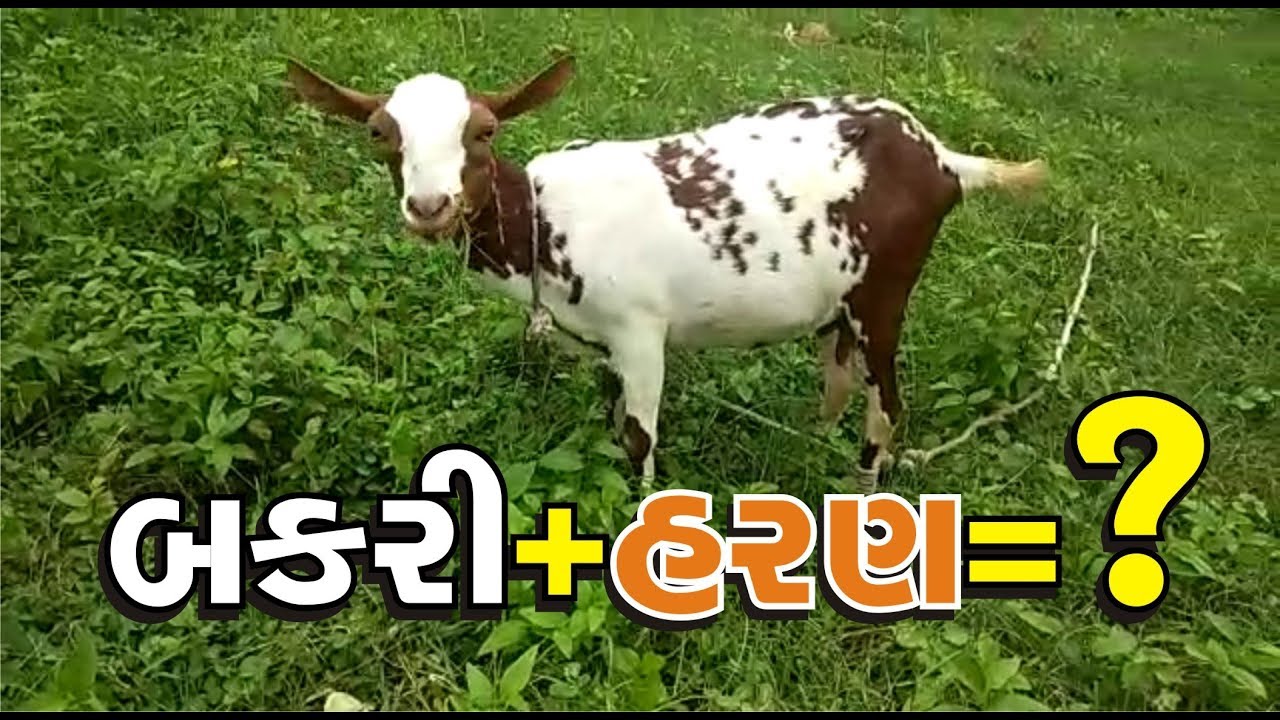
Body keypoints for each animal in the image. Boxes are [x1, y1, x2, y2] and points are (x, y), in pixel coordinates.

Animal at [285, 55, 1047, 486]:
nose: (429, 207)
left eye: (485, 131)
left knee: (886, 402)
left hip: (885, 289)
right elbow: (610, 412)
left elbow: (638, 433)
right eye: (379, 133)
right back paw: (812, 443)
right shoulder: (600, 340)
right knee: (838, 371)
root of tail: (943, 159)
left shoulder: (640, 330)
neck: (544, 219)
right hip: (841, 293)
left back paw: (862, 490)